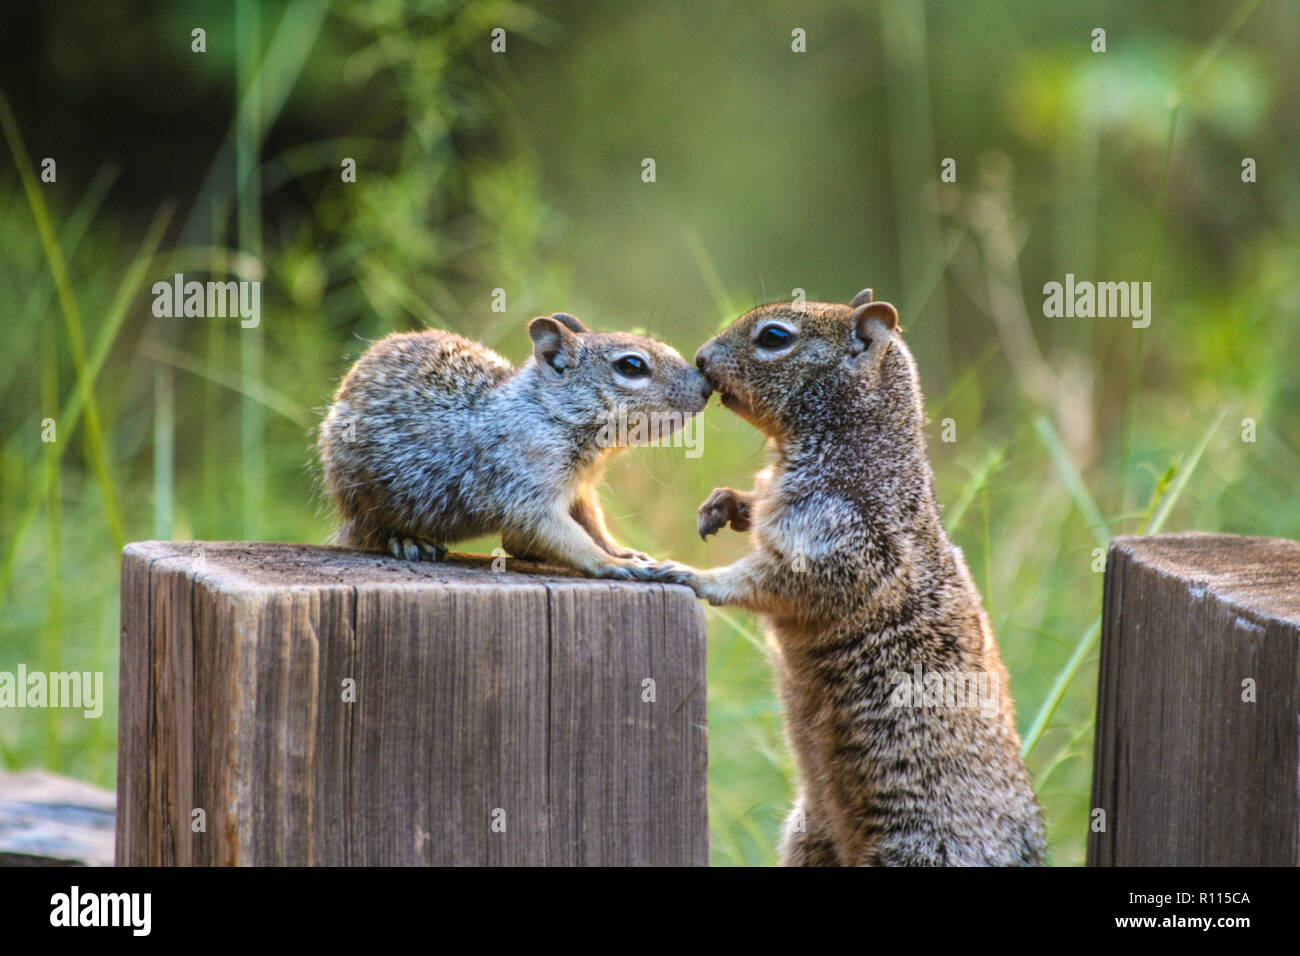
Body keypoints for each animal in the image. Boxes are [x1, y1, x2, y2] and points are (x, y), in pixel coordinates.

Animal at [317, 313, 711, 579]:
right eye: (631, 365)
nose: (707, 386)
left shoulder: (580, 490)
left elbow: (593, 526)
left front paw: (622, 551)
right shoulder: (523, 489)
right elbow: (564, 537)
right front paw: (612, 564)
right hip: (363, 496)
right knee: (372, 531)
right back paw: (409, 540)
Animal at [653, 289, 1046, 866]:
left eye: (775, 337)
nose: (701, 357)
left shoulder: (844, 546)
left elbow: (764, 582)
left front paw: (693, 574)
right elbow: (755, 509)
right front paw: (722, 506)